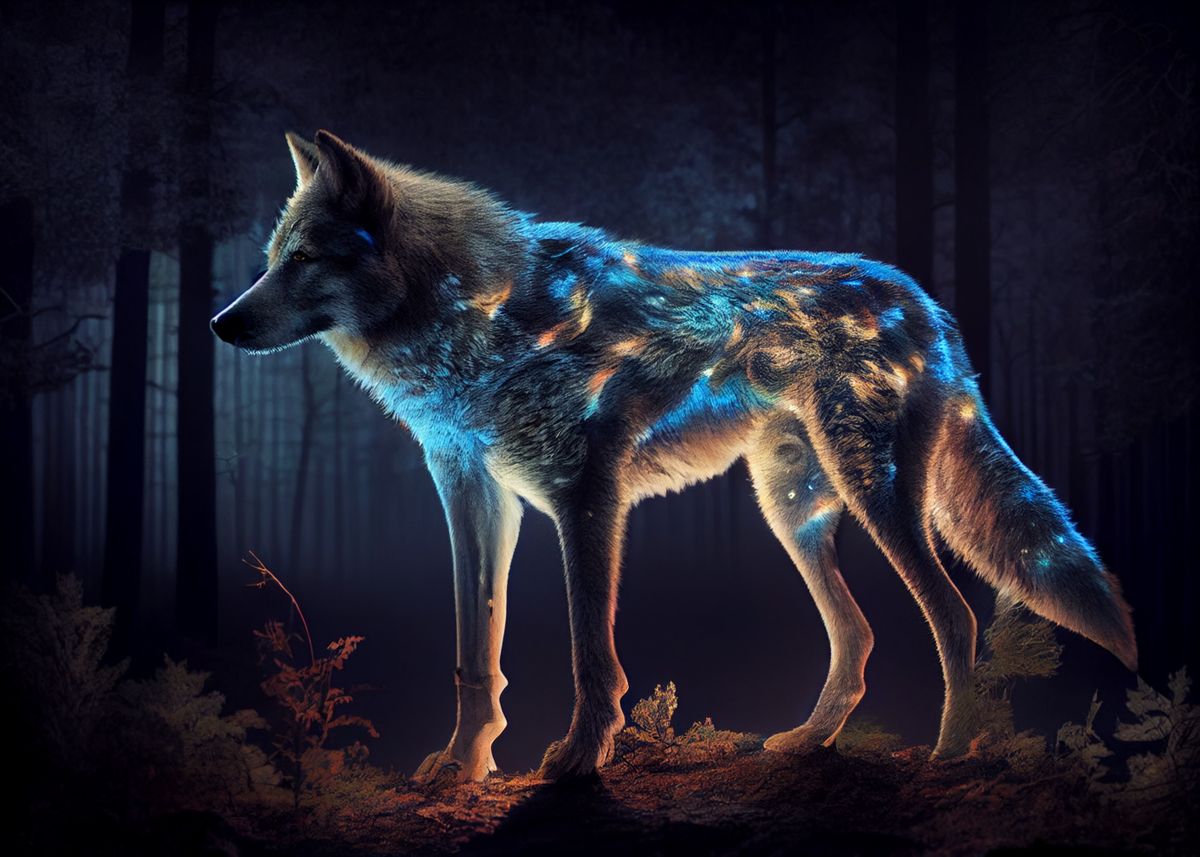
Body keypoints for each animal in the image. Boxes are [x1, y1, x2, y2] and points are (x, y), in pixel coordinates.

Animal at [211, 130, 1137, 782]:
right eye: (270, 262)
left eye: (303, 260)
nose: (221, 322)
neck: (485, 315)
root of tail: (927, 303)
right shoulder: (476, 498)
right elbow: (478, 656)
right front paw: (464, 765)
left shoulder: (584, 493)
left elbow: (591, 651)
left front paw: (579, 758)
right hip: (794, 512)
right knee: (862, 634)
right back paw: (807, 741)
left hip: (875, 497)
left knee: (955, 618)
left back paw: (949, 756)